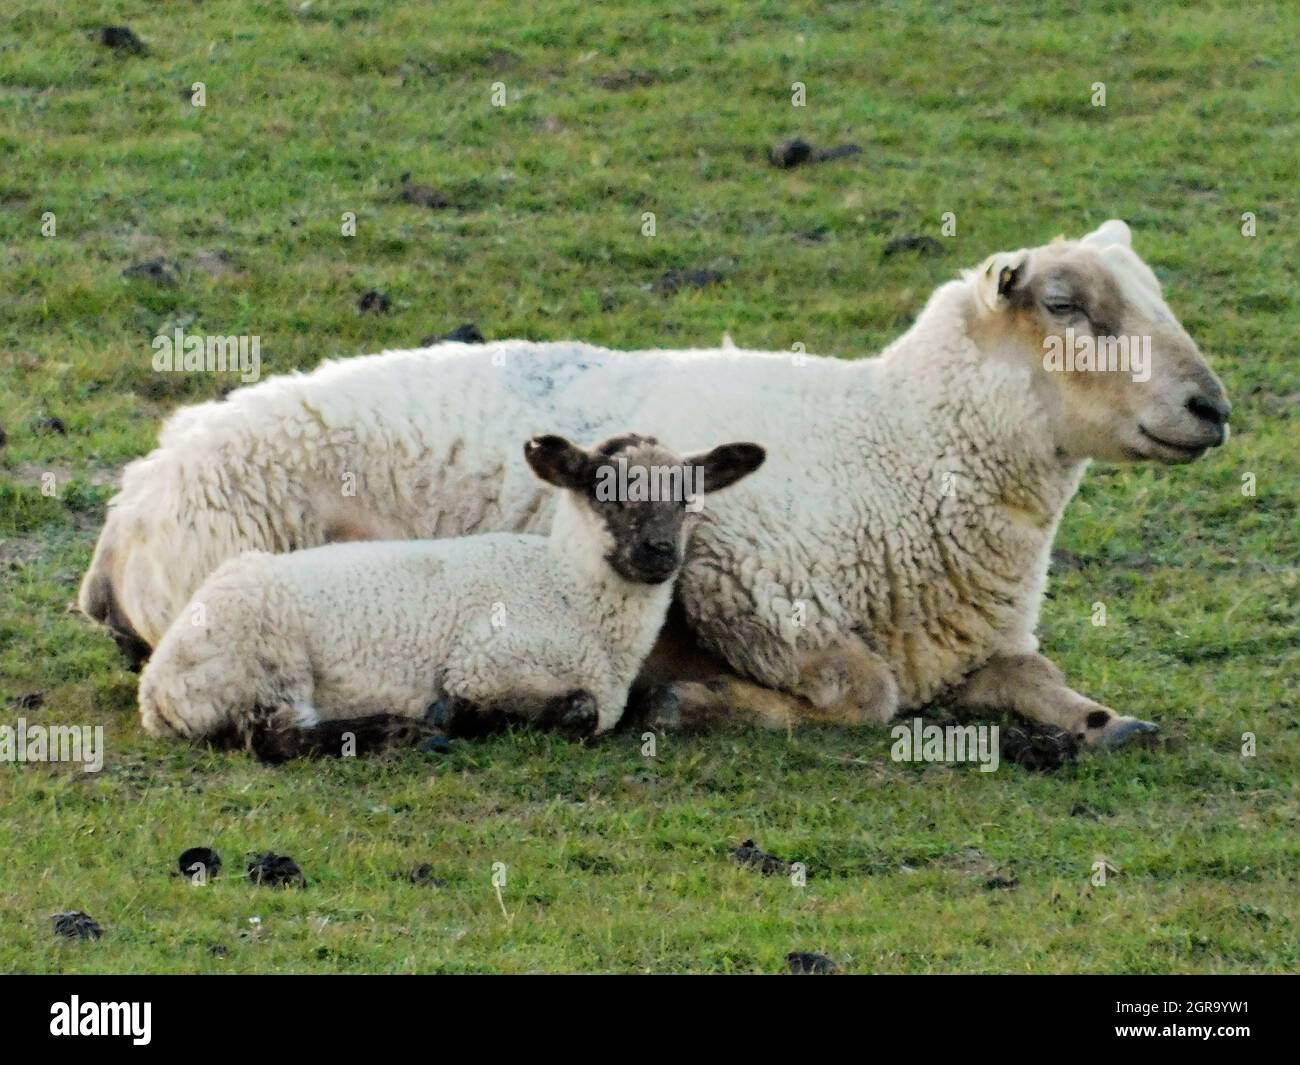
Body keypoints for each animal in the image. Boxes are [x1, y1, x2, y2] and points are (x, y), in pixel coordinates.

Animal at [136, 432, 766, 750]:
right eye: (603, 490)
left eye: (688, 497)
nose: (660, 553)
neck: (568, 591)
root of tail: (156, 691)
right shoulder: (485, 660)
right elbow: (579, 712)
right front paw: (455, 714)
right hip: (265, 658)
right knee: (275, 738)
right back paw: (398, 729)